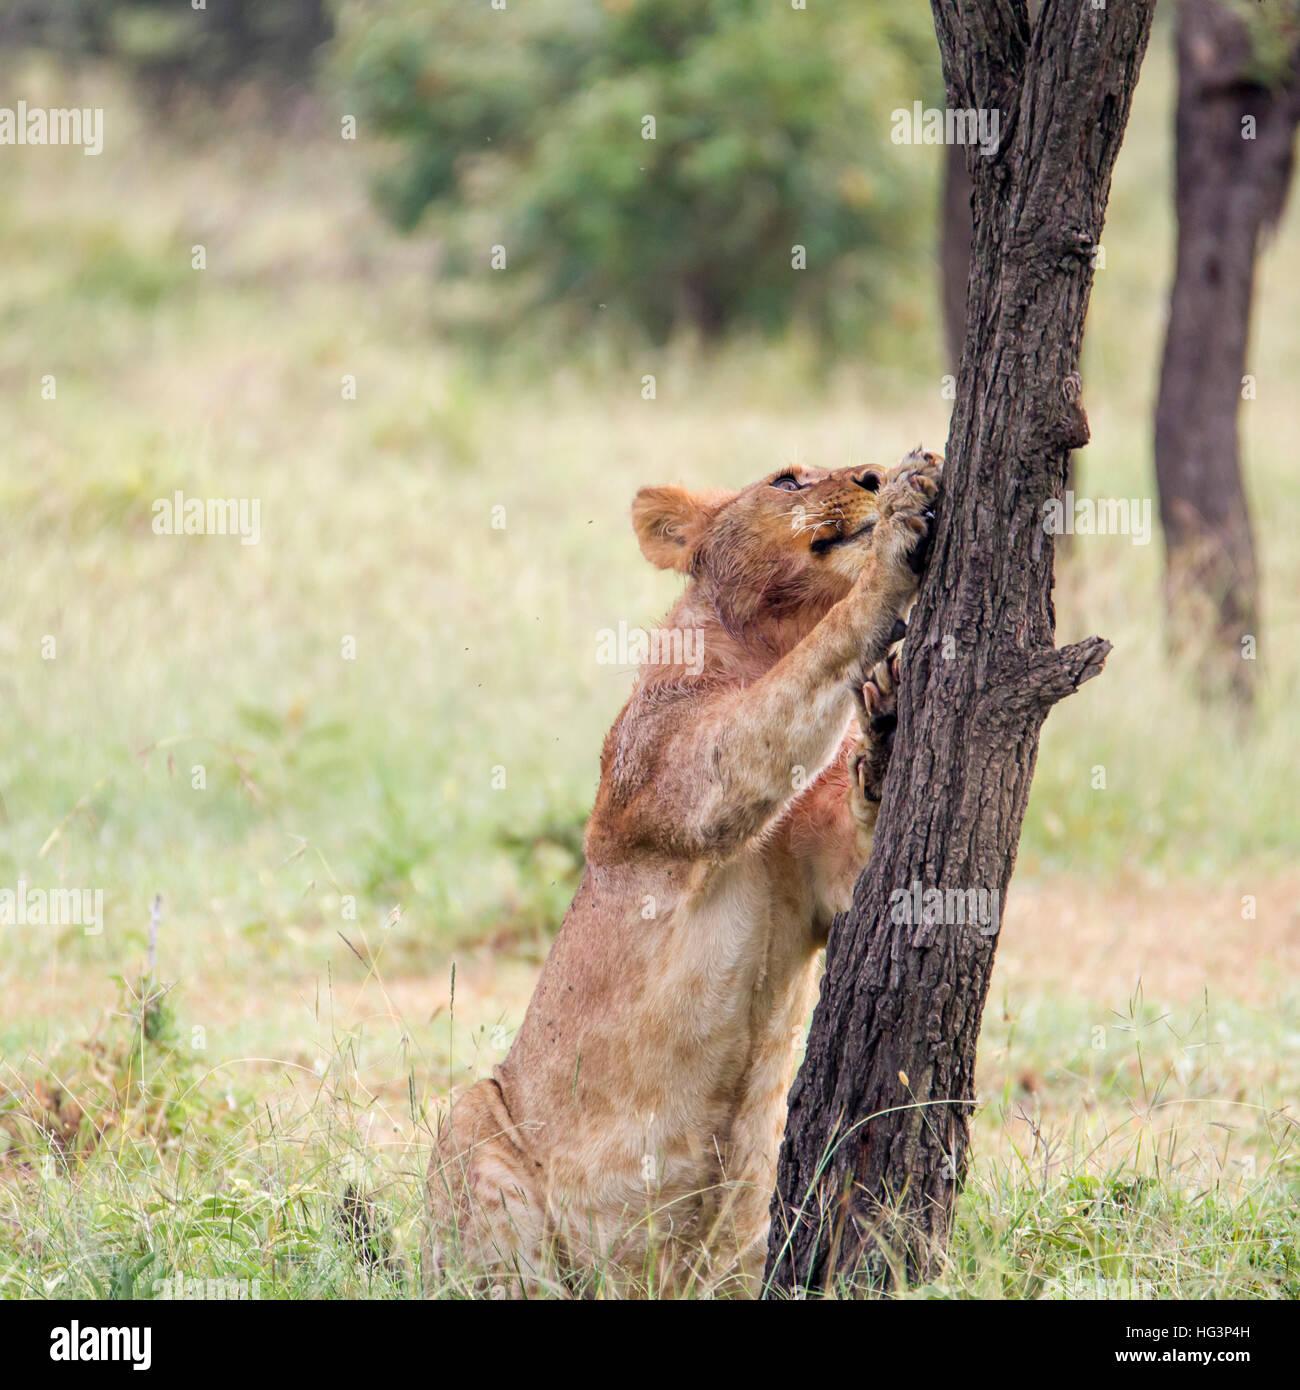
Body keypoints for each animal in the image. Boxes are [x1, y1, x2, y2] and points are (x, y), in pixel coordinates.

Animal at [426, 448, 943, 1296]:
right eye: (789, 479)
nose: (871, 474)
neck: (763, 637)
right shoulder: (683, 779)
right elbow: (797, 680)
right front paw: (897, 540)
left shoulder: (819, 886)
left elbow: (858, 854)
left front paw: (890, 718)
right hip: (475, 1119)